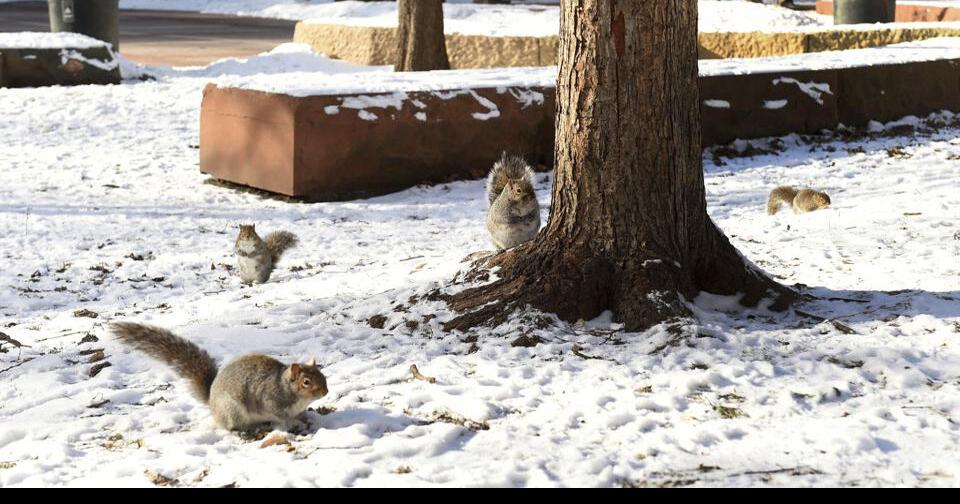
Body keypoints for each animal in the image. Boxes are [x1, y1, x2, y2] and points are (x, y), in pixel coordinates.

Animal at [111, 322, 328, 432]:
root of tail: (212, 401)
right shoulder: (270, 400)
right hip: (232, 410)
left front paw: (306, 419)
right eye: (306, 382)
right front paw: (295, 423)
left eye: (322, 374)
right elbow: (280, 414)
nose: (325, 392)